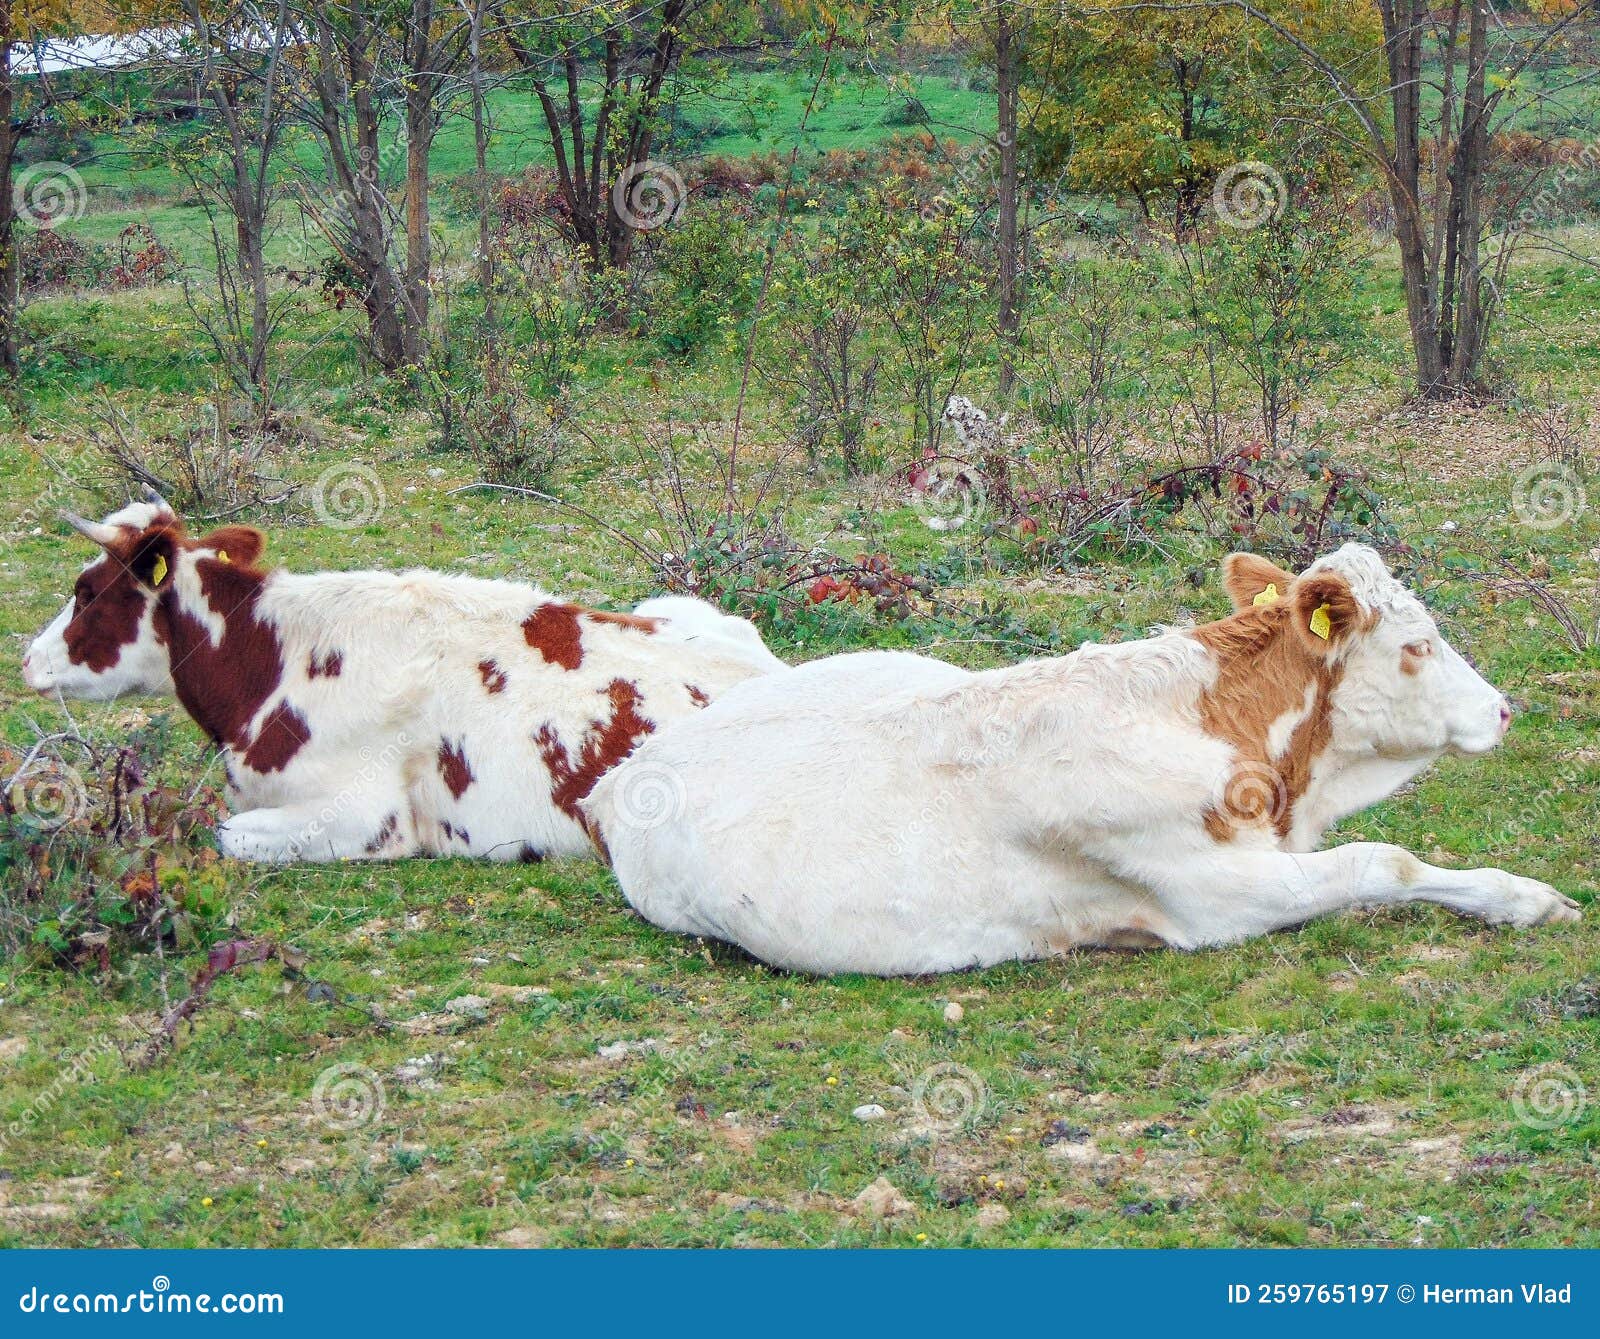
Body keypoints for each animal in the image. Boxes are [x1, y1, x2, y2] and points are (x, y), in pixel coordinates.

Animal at [587, 544, 1581, 975]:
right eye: (1417, 645)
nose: (1501, 706)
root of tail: (626, 772)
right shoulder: (1217, 893)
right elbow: (1388, 860)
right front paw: (1527, 899)